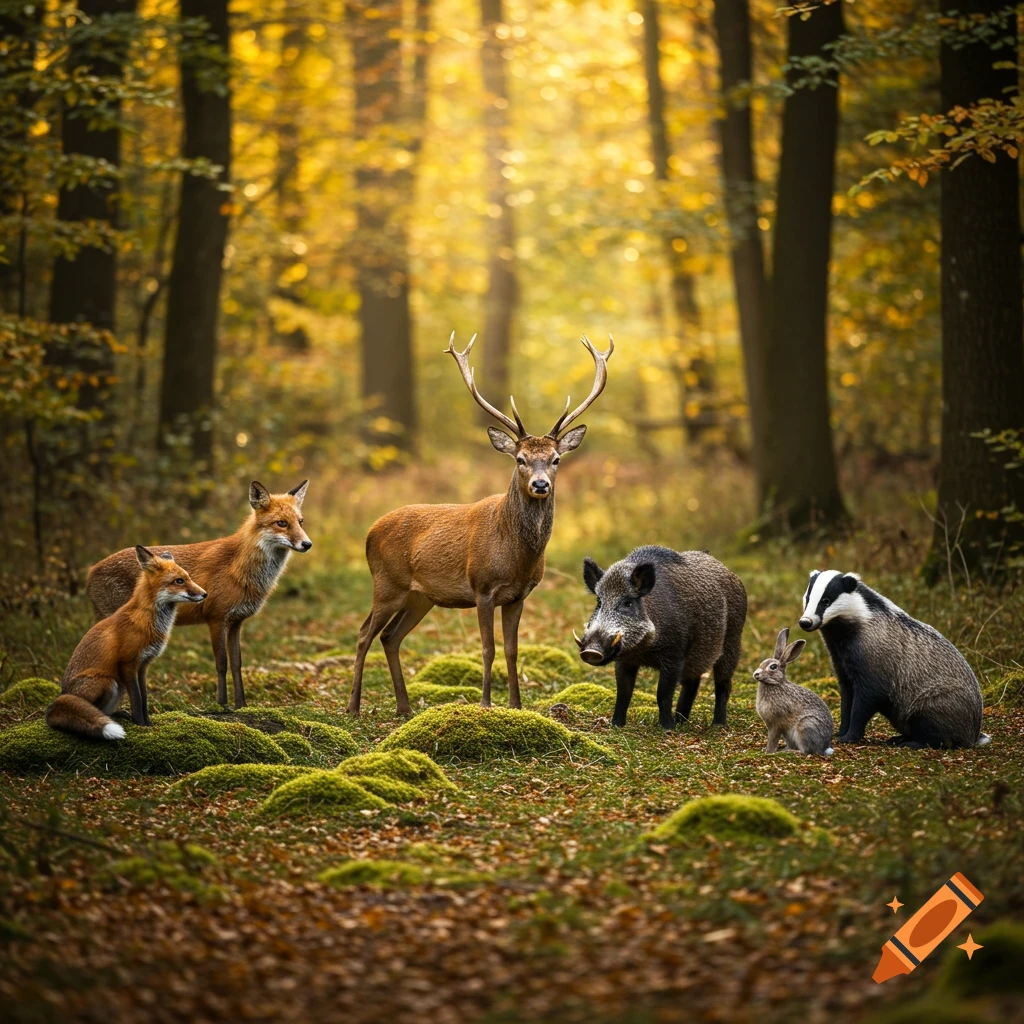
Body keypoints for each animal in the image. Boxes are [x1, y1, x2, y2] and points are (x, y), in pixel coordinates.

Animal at [47, 546, 207, 740]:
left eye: (188, 577)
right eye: (179, 581)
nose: (205, 594)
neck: (148, 621)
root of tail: (60, 697)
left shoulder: (143, 665)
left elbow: (144, 697)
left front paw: (148, 723)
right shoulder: (127, 663)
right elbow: (137, 699)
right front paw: (140, 725)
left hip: (119, 686)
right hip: (109, 682)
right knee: (94, 709)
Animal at [86, 480, 312, 709]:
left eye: (300, 522)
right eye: (281, 523)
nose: (307, 544)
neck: (240, 567)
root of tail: (91, 570)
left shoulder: (236, 622)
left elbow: (237, 664)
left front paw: (241, 704)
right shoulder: (217, 619)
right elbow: (221, 664)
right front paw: (222, 705)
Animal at [347, 331, 614, 716]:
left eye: (556, 459)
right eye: (519, 459)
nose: (540, 485)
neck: (518, 558)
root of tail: (369, 533)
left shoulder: (519, 594)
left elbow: (512, 650)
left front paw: (516, 705)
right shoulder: (482, 587)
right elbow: (487, 648)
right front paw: (486, 703)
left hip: (419, 596)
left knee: (390, 636)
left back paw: (405, 708)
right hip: (386, 583)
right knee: (364, 632)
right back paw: (353, 707)